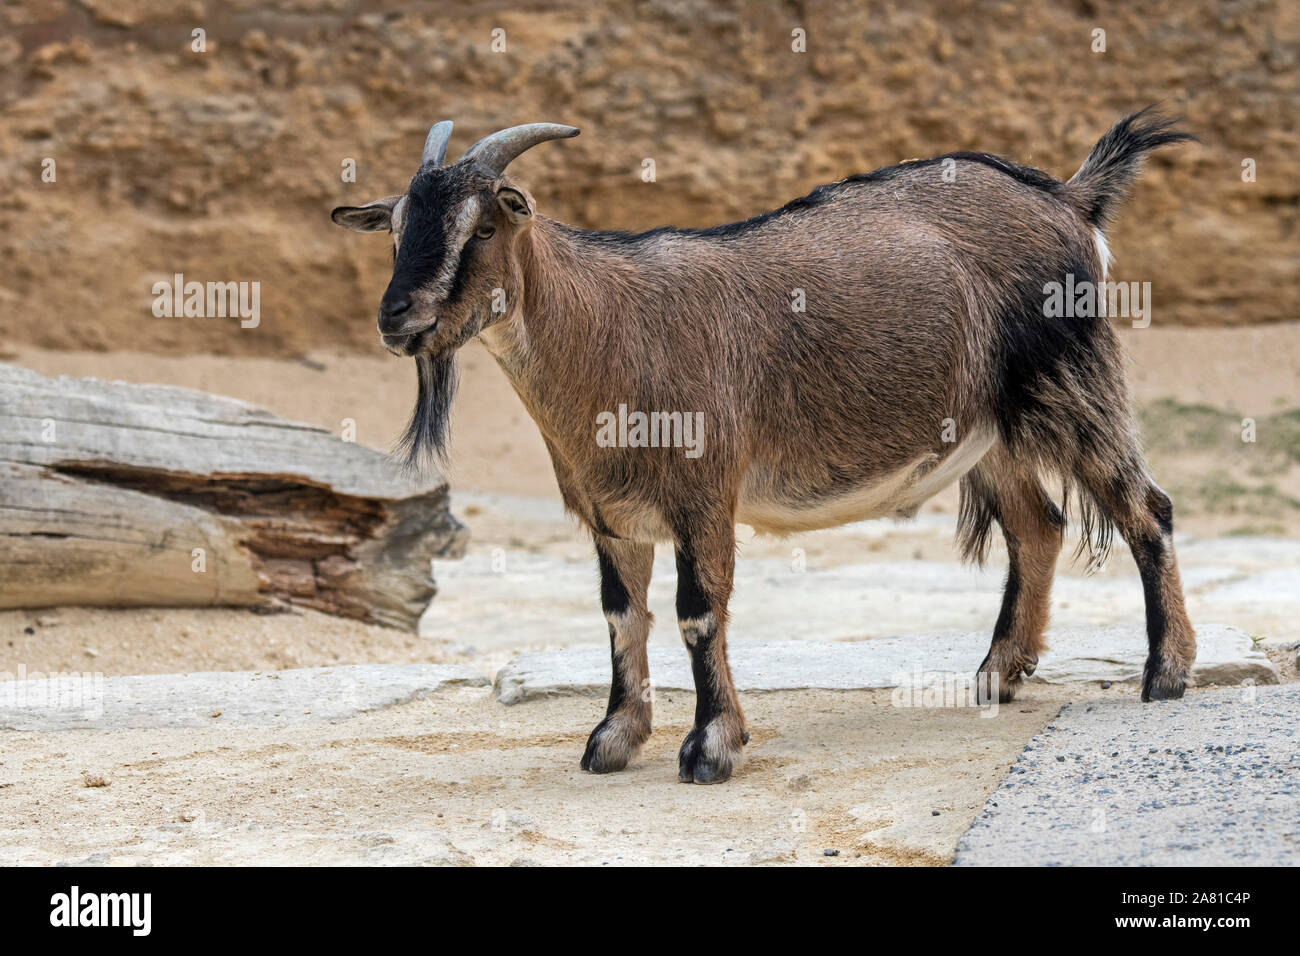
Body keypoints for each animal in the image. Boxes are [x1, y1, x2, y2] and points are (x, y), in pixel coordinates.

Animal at [331, 109, 1197, 784]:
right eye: (398, 230)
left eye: (482, 226)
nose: (397, 318)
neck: (606, 329)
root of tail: (1072, 197)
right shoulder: (611, 515)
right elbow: (621, 616)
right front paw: (614, 739)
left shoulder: (703, 495)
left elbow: (696, 613)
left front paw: (711, 747)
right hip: (990, 433)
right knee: (1038, 527)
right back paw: (994, 678)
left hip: (1071, 379)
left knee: (1145, 507)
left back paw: (1165, 673)